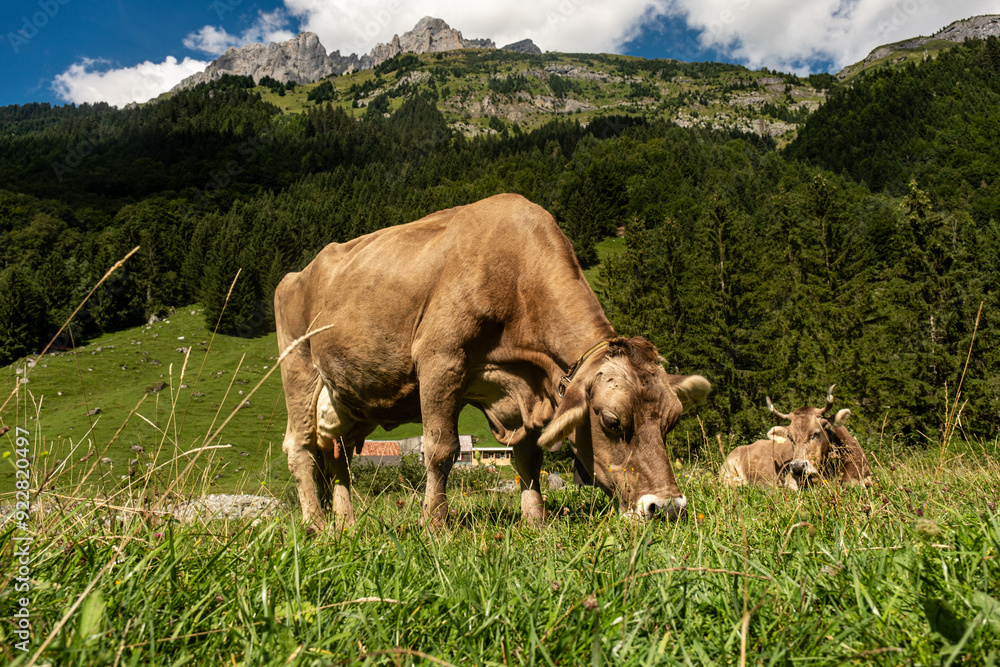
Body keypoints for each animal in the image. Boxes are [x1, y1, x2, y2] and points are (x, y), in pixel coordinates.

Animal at [274, 194, 711, 530]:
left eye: (672, 421)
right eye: (612, 421)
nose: (666, 508)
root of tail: (299, 272)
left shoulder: (525, 392)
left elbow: (528, 457)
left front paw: (535, 522)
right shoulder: (440, 359)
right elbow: (441, 449)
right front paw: (435, 524)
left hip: (353, 398)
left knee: (338, 455)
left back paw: (346, 525)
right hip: (299, 370)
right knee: (300, 447)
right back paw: (316, 525)